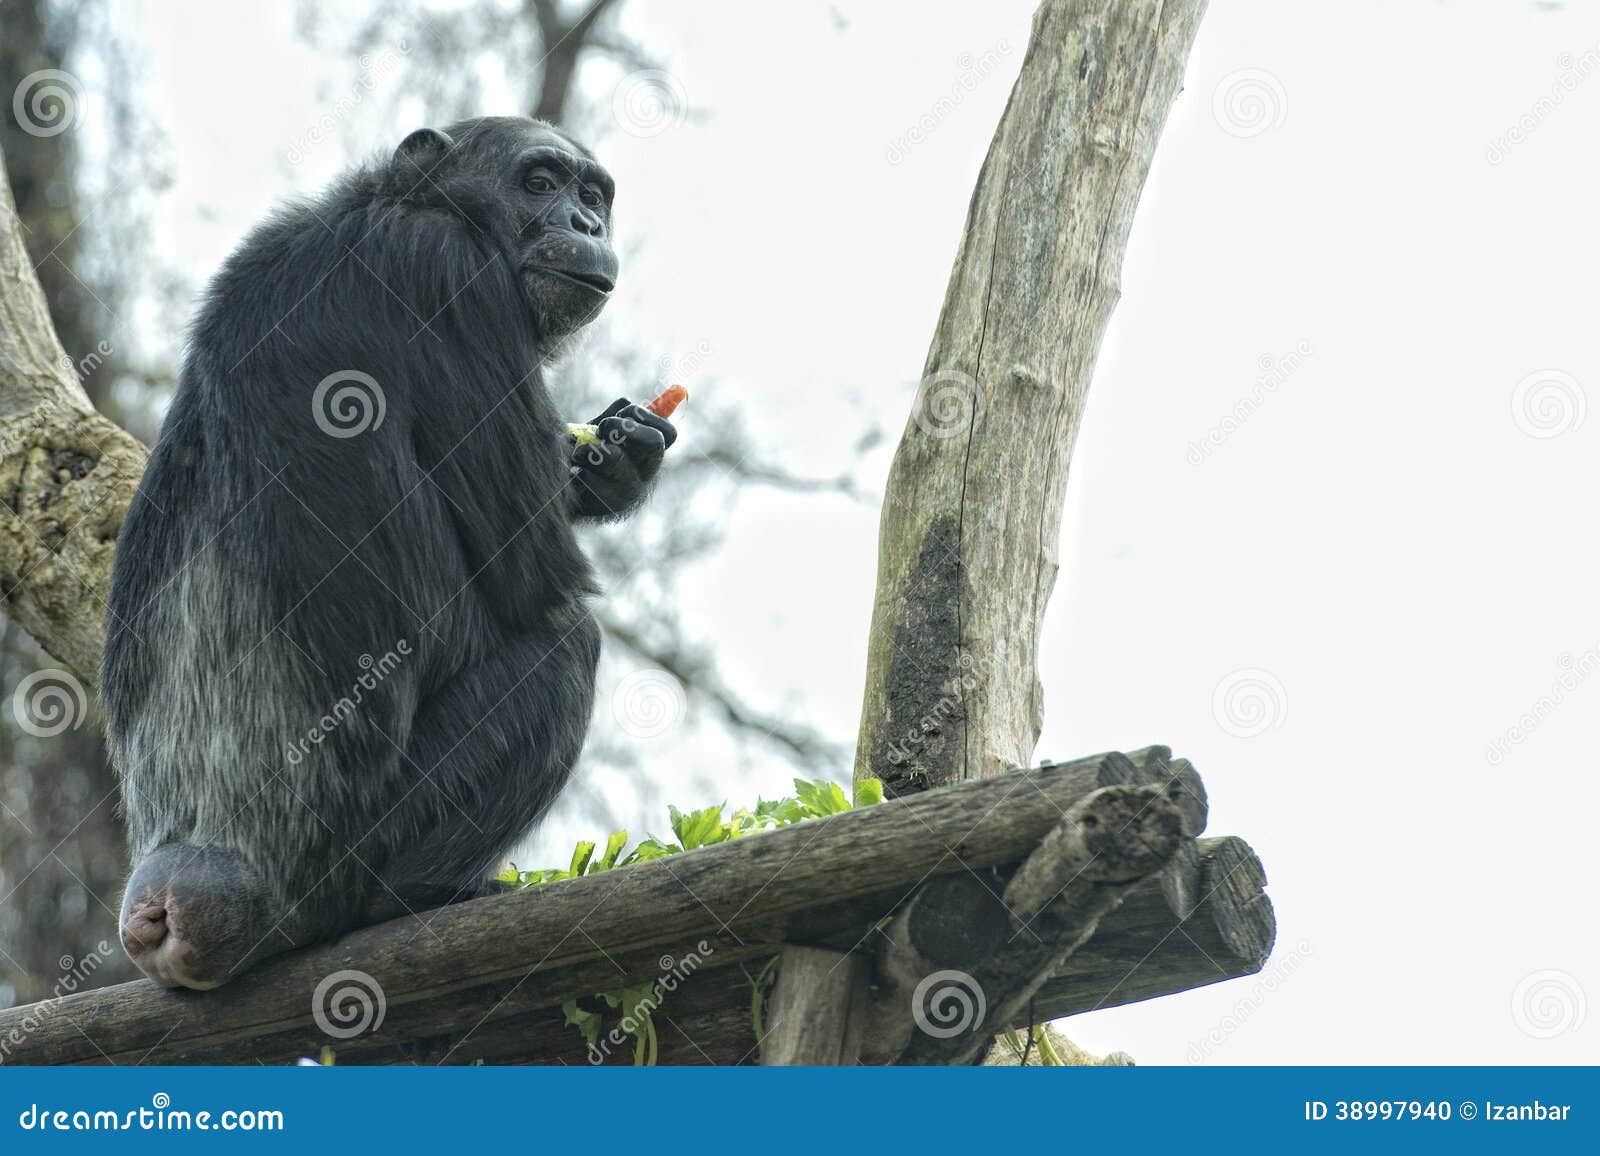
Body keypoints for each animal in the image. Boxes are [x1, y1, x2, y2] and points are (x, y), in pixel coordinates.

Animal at [100, 116, 675, 990]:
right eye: (540, 183)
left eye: (593, 194)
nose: (586, 223)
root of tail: (191, 883)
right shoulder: (452, 277)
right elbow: (536, 571)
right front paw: (619, 467)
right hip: (342, 863)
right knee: (564, 648)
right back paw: (429, 896)